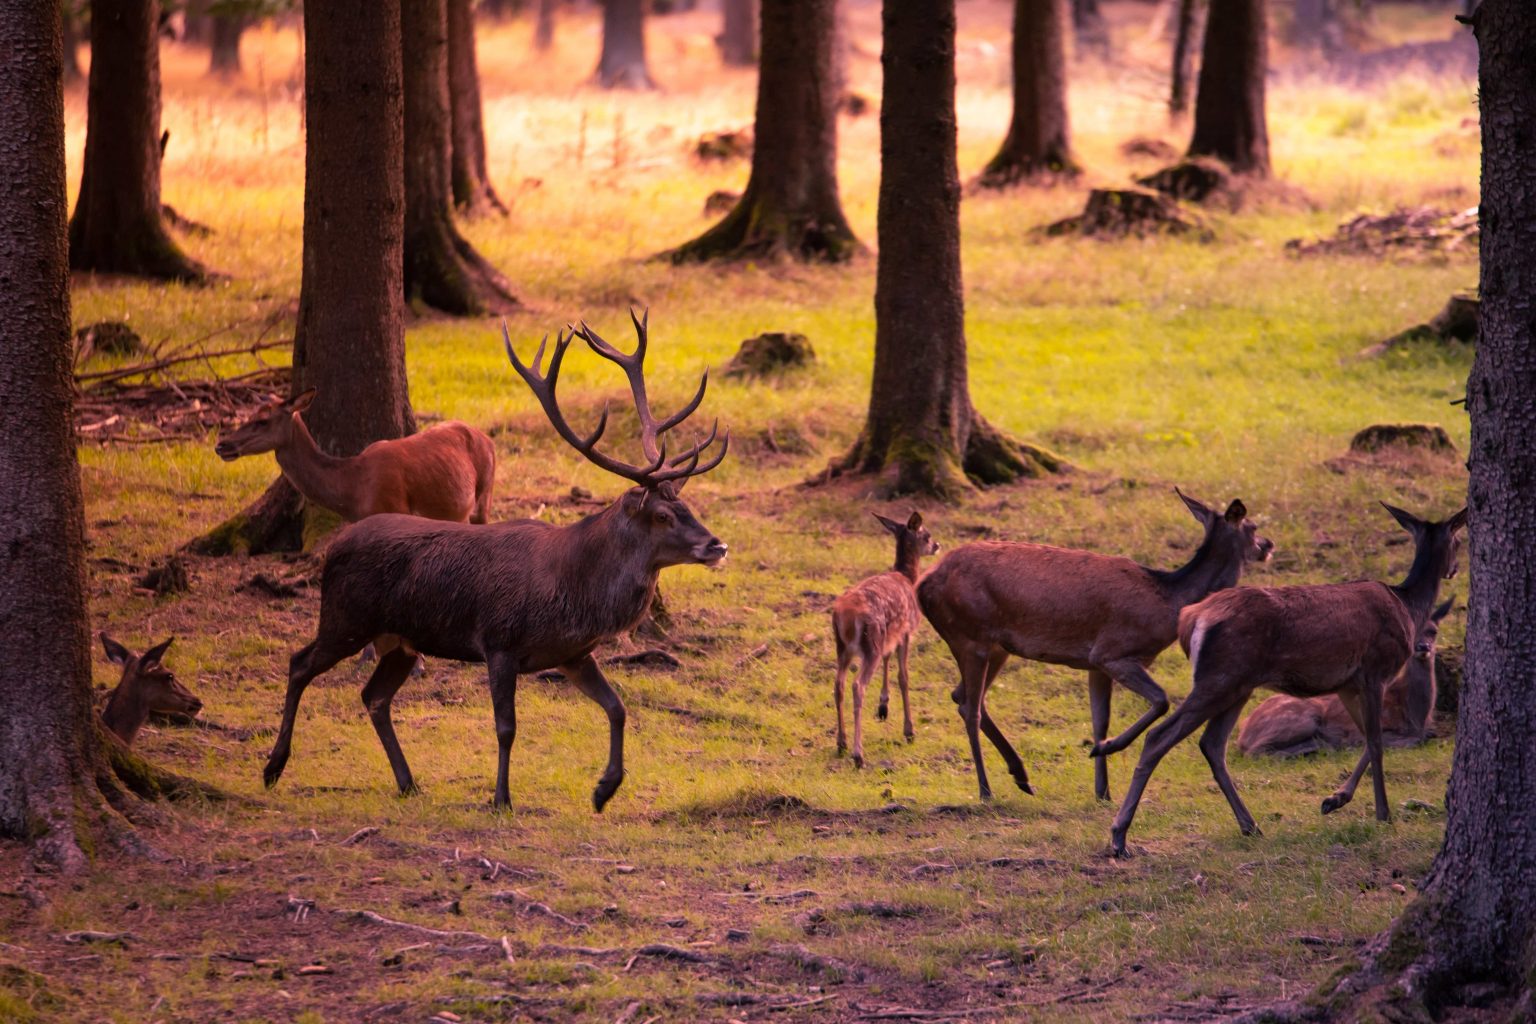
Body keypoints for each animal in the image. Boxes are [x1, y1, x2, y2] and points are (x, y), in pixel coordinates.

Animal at [214, 388, 497, 526]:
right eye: (250, 414)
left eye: (262, 420)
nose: (222, 445)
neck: (353, 490)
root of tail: (488, 439)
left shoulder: (395, 508)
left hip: (485, 494)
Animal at [261, 311, 729, 812]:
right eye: (662, 515)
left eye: (687, 506)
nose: (716, 546)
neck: (572, 590)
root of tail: (335, 546)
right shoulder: (499, 640)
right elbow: (506, 727)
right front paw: (502, 797)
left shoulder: (573, 653)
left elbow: (618, 708)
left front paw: (604, 790)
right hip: (346, 616)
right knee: (300, 663)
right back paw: (274, 767)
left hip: (399, 639)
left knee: (373, 696)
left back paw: (408, 781)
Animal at [832, 511, 940, 768]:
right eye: (926, 535)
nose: (937, 545)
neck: (907, 577)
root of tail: (844, 615)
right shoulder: (907, 629)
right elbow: (904, 677)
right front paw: (909, 731)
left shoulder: (891, 634)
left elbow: (888, 658)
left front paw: (883, 706)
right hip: (870, 643)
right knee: (857, 685)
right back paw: (858, 754)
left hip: (844, 648)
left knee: (838, 685)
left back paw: (841, 743)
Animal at [917, 489, 1272, 803]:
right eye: (1253, 526)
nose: (1268, 545)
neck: (1169, 599)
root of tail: (923, 585)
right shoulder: (1113, 651)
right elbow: (1160, 700)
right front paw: (1107, 749)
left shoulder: (1094, 663)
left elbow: (1100, 719)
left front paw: (1103, 790)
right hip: (971, 636)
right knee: (970, 707)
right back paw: (986, 790)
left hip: (995, 646)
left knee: (961, 695)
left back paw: (1022, 777)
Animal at [1237, 598, 1453, 758]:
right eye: (1411, 631)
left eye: (1433, 631)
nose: (1423, 647)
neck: (1415, 714)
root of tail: (1243, 731)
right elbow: (1412, 739)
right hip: (1302, 717)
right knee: (1256, 751)